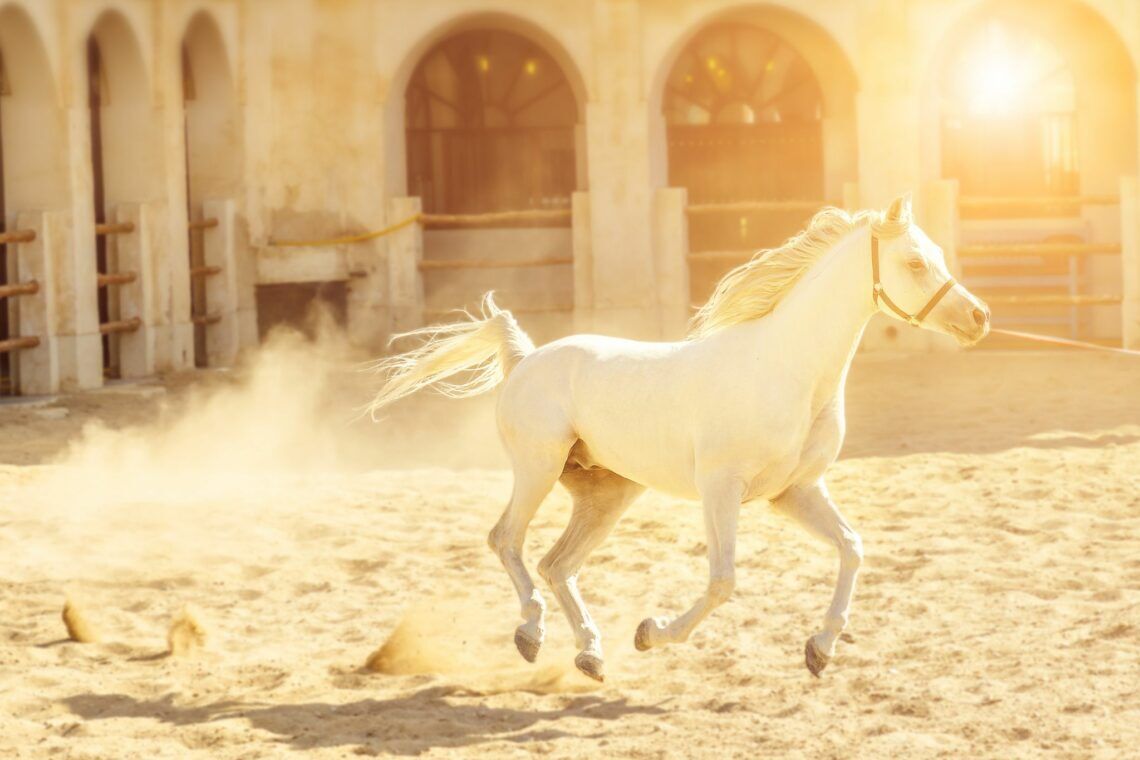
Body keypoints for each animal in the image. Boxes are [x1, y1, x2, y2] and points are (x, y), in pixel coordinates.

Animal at [366, 196, 989, 682]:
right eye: (915, 261)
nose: (979, 319)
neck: (785, 369)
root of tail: (525, 357)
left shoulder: (796, 491)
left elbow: (852, 548)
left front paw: (820, 650)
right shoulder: (721, 489)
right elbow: (722, 581)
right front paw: (650, 632)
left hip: (609, 494)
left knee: (556, 563)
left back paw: (591, 655)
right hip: (537, 468)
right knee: (507, 542)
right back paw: (531, 635)